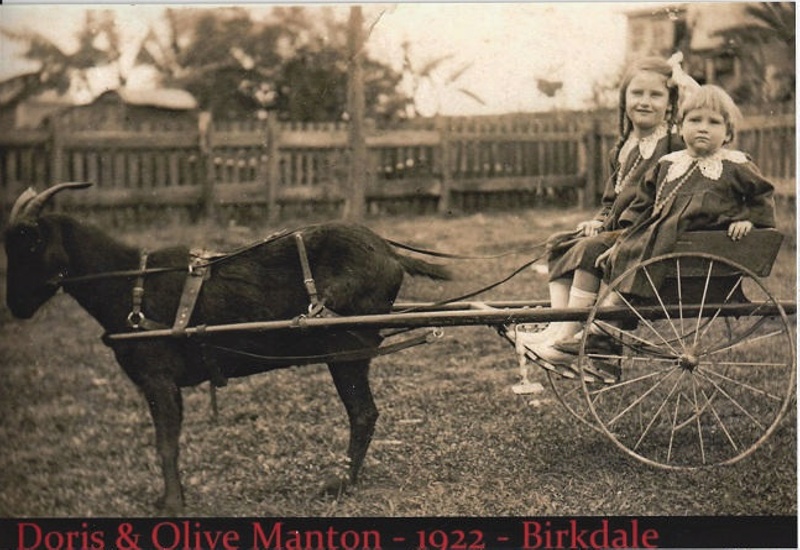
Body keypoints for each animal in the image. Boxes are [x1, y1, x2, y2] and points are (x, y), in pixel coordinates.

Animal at [4, 182, 451, 514]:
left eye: (29, 242)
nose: (15, 307)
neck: (133, 284)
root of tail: (390, 253)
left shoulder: (160, 381)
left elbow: (166, 445)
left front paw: (172, 505)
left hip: (345, 349)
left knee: (363, 413)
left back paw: (340, 482)